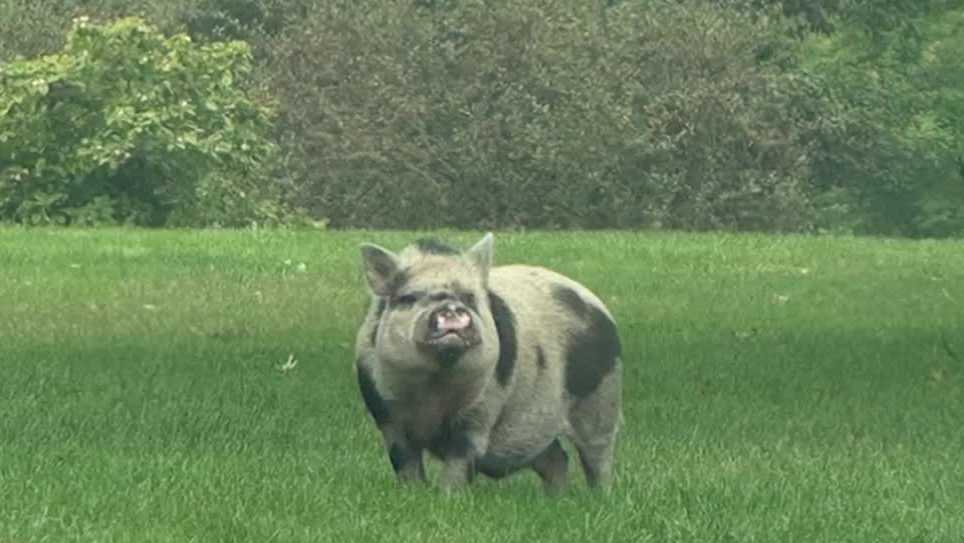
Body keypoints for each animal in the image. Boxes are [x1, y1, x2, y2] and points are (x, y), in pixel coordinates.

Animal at [352, 233, 622, 493]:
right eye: (409, 297)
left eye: (469, 298)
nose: (451, 307)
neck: (433, 383)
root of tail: (597, 303)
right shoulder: (386, 416)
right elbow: (404, 461)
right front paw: (414, 493)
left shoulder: (481, 410)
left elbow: (460, 460)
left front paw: (448, 496)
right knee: (557, 458)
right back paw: (555, 499)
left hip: (602, 401)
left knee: (598, 457)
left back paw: (600, 497)